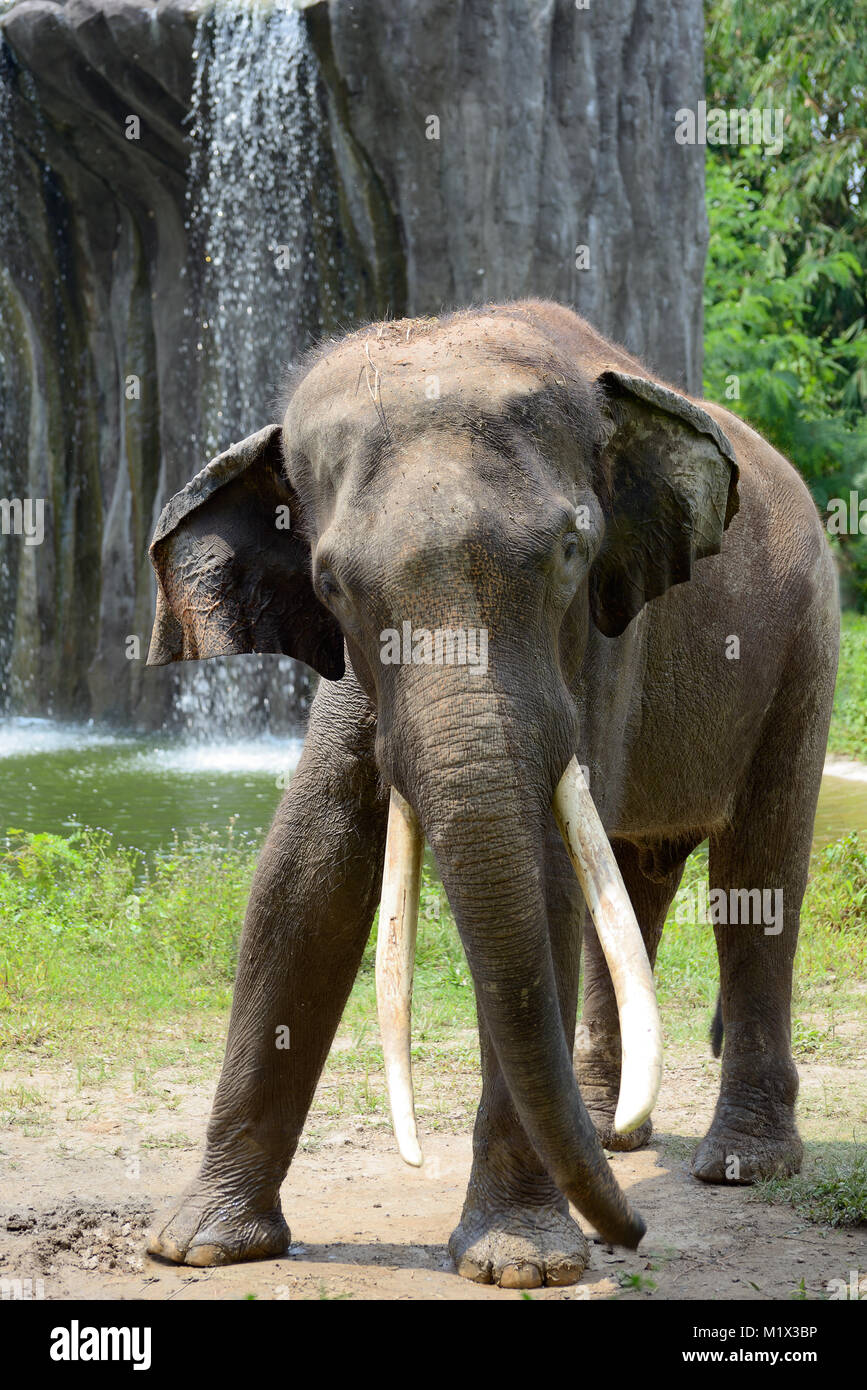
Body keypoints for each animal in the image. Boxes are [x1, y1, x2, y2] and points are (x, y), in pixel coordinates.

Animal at [143, 299, 838, 1288]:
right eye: (329, 584)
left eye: (571, 552)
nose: (631, 1235)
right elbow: (305, 869)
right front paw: (198, 1247)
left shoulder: (606, 633)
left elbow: (543, 877)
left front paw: (520, 1265)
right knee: (634, 876)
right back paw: (609, 1132)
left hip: (805, 644)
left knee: (756, 873)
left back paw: (739, 1164)